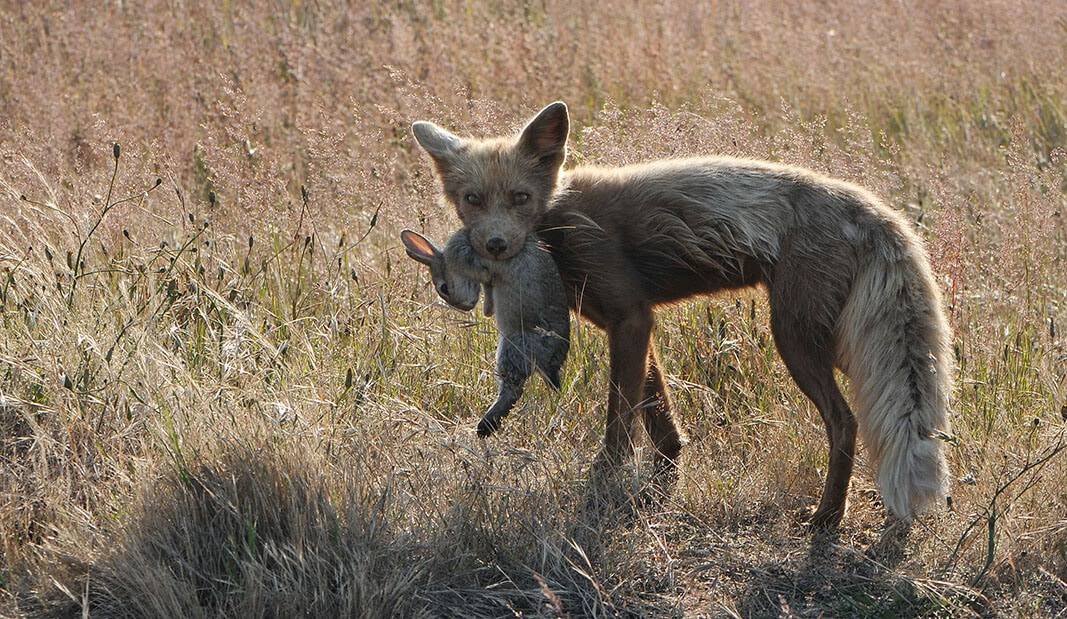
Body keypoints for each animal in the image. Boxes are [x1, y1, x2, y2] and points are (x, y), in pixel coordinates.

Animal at [400, 227, 570, 437]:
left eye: (444, 288)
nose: (464, 307)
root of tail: (551, 363)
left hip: (514, 346)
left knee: (513, 389)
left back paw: (484, 427)